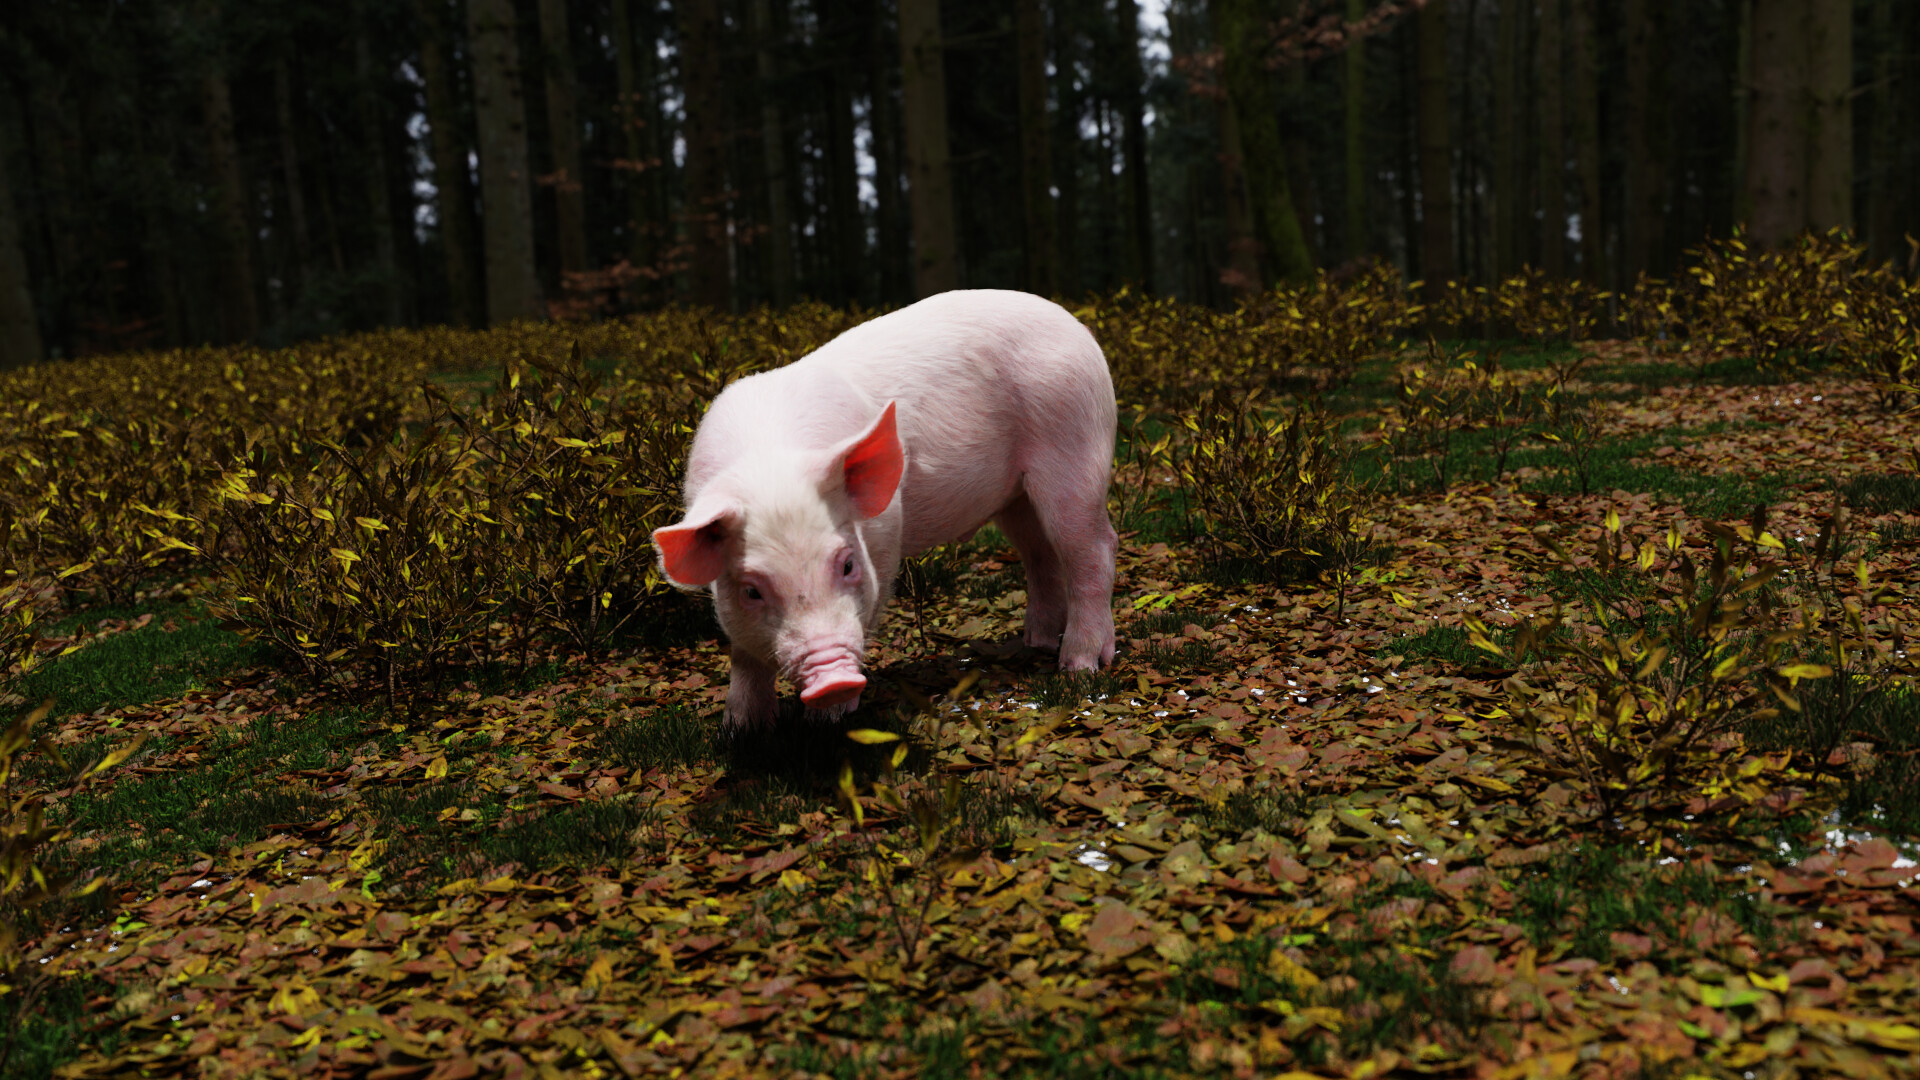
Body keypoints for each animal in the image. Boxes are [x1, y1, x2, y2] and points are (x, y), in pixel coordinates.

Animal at [652, 289, 1118, 731]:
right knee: (1041, 554)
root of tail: (1079, 330)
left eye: (847, 565)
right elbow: (745, 656)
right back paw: (1036, 643)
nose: (832, 678)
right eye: (751, 590)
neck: (771, 468)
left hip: (1075, 450)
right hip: (1015, 496)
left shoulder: (885, 537)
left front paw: (827, 721)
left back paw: (1078, 668)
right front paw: (740, 729)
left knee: (1094, 549)